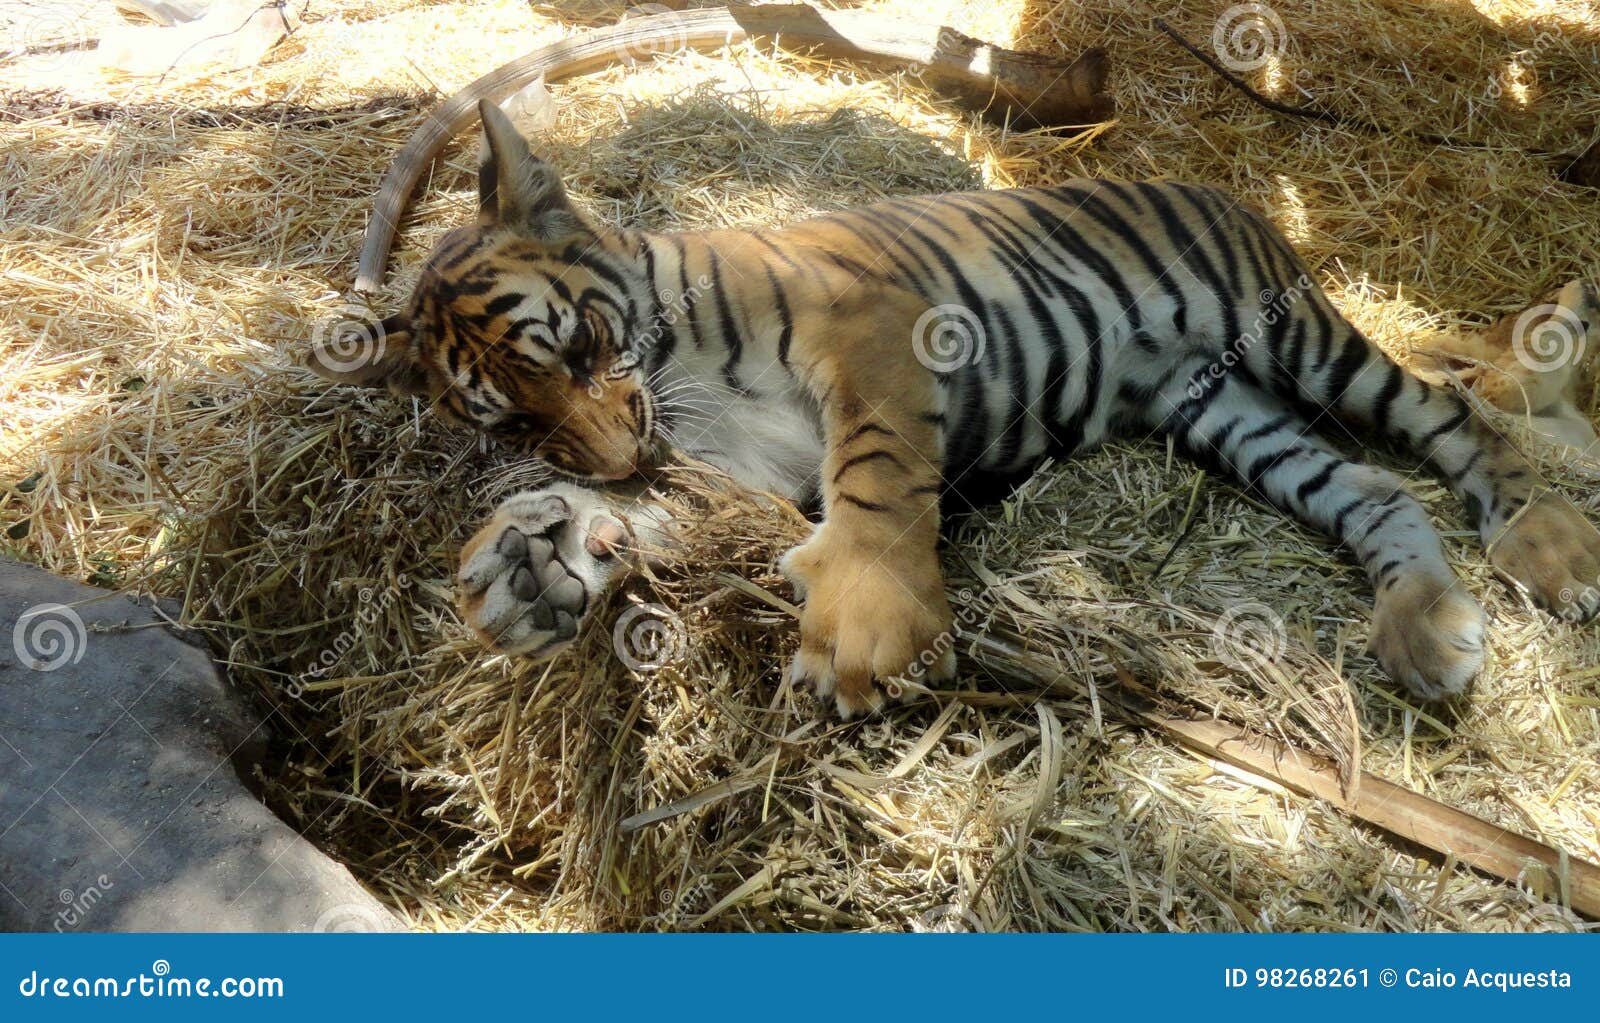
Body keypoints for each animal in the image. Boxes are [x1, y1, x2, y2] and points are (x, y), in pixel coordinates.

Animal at [309, 100, 1600, 717]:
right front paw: (537, 563)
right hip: (1225, 413)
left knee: (1451, 420)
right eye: (514, 421)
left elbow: (880, 476)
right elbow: (674, 520)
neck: (680, 367)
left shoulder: (871, 330)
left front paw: (868, 623)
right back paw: (1425, 629)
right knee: (1373, 487)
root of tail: (1223, 187)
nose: (617, 455)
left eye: (573, 347)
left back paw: (1546, 547)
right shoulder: (752, 469)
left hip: (1294, 337)